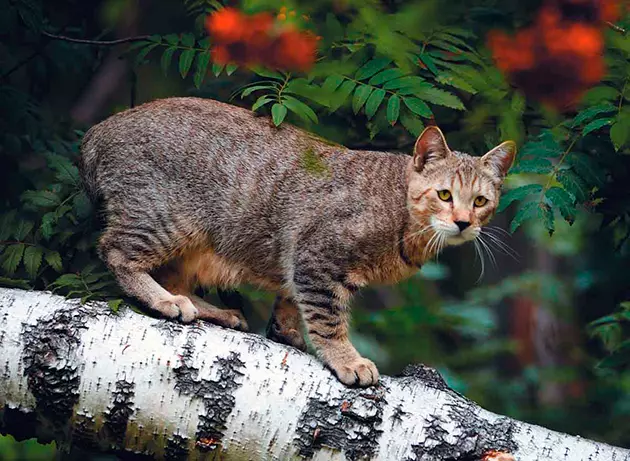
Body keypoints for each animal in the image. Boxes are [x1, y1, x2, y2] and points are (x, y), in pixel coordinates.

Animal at [79, 96, 516, 384]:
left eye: (480, 201)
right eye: (444, 195)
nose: (463, 222)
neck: (402, 216)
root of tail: (99, 130)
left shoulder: (301, 261)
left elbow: (291, 297)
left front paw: (286, 330)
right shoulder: (317, 255)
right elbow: (327, 319)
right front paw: (346, 358)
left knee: (170, 274)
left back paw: (209, 309)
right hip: (163, 219)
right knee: (114, 251)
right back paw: (165, 301)